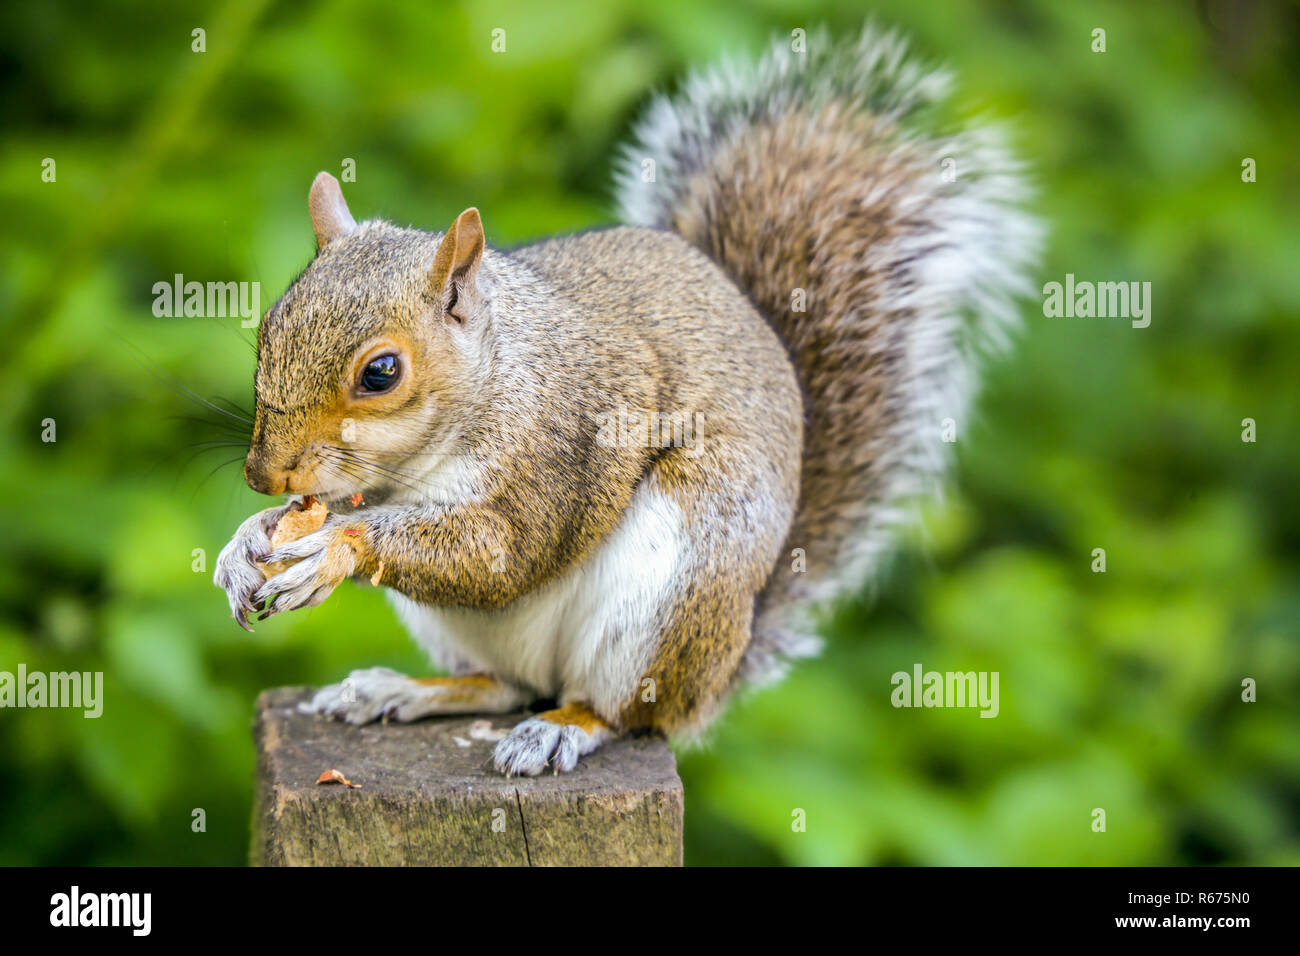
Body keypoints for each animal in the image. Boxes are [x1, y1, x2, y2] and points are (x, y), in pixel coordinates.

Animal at [215, 25, 1039, 776]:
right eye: (267, 328)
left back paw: (562, 729)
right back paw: (403, 690)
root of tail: (724, 663)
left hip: (673, 583)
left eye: (382, 373)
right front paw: (246, 542)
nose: (263, 474)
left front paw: (331, 546)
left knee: (622, 712)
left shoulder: (562, 448)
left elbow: (503, 554)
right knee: (503, 685)